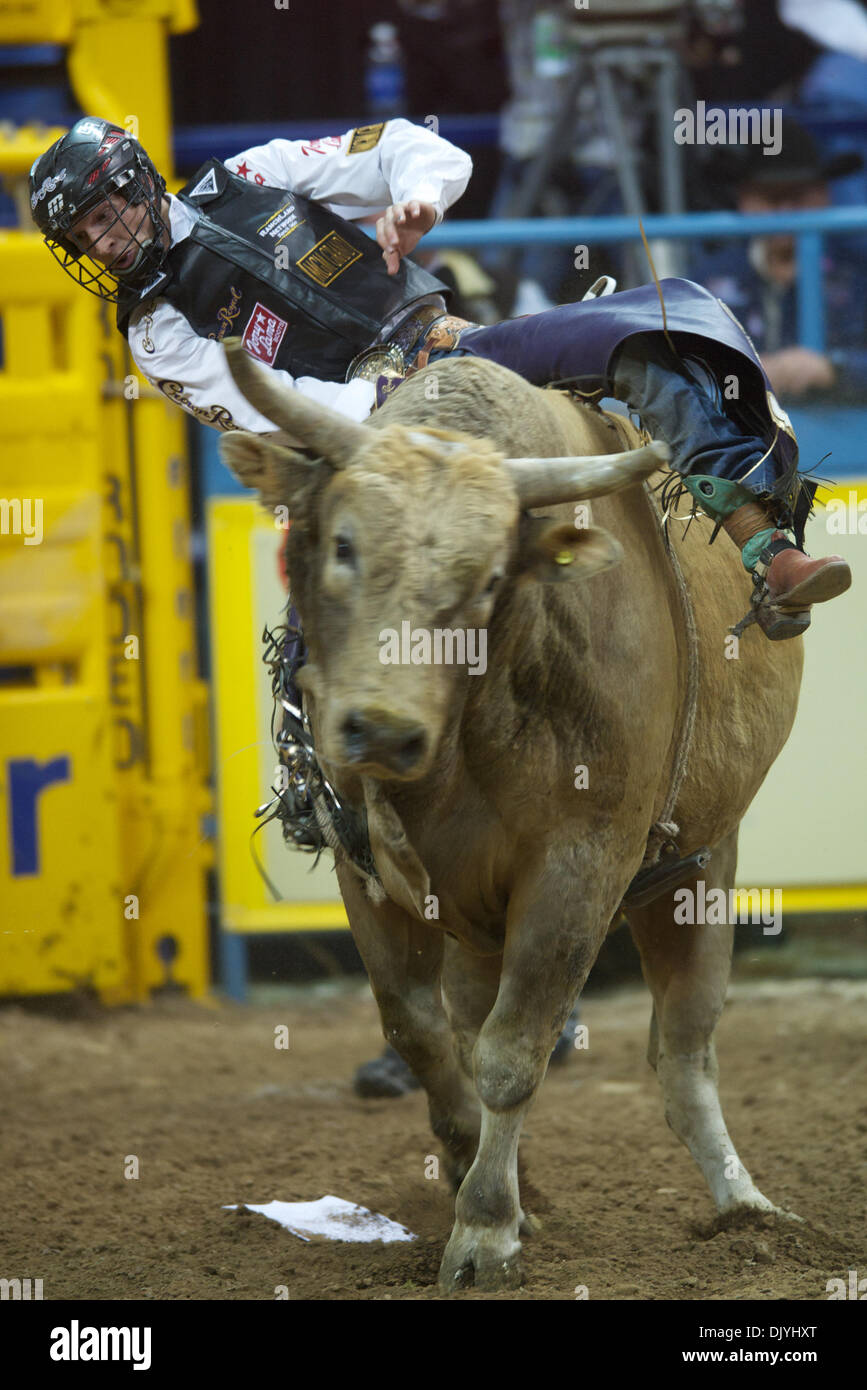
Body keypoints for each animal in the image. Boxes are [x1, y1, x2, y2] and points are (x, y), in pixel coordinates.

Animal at [219, 337, 804, 1293]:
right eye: (343, 543)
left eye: (489, 577)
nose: (382, 729)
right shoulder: (362, 866)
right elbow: (419, 1034)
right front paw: (481, 1178)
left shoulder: (579, 867)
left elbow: (512, 1052)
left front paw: (485, 1230)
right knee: (467, 1019)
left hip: (699, 868)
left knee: (683, 1052)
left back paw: (743, 1208)